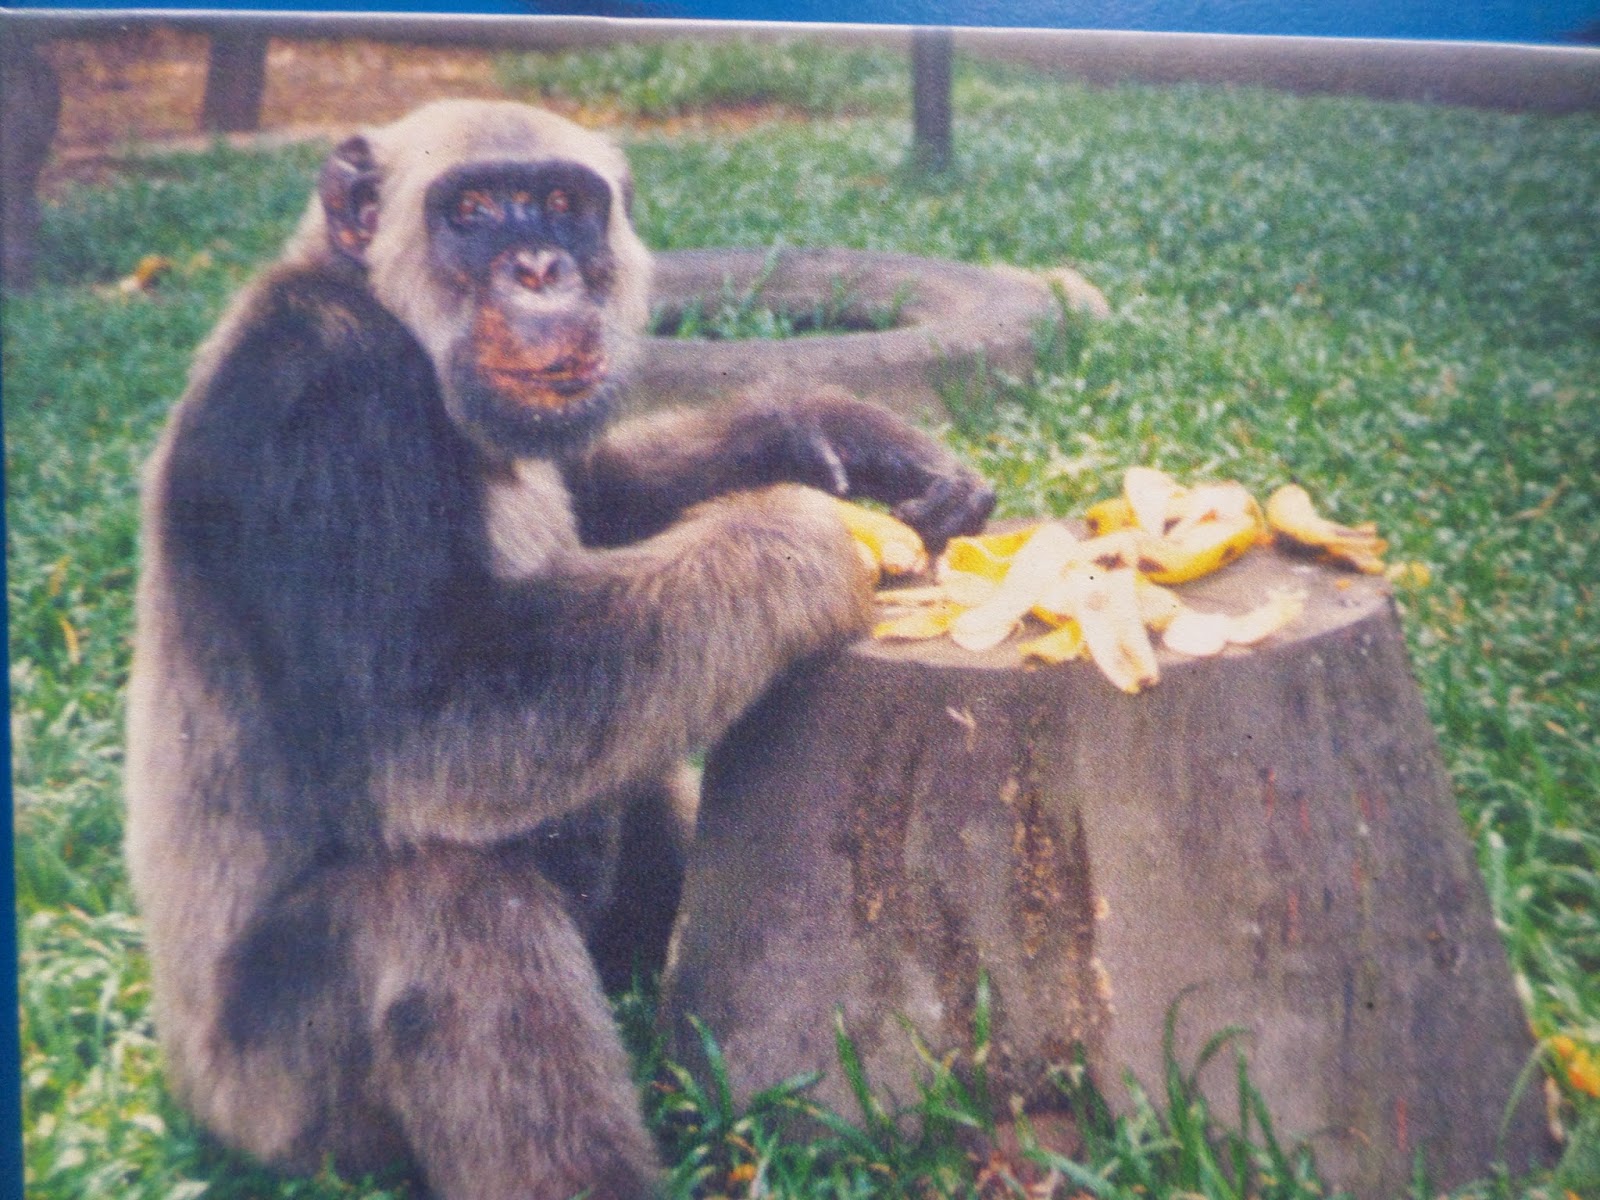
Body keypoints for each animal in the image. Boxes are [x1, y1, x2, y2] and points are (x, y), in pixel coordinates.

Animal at [123, 99, 994, 1200]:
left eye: (560, 202)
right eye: (473, 209)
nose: (538, 265)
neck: (398, 330)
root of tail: (186, 1094)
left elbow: (600, 500)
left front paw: (833, 430)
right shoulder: (320, 411)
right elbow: (433, 716)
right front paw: (799, 539)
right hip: (281, 1109)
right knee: (449, 917)